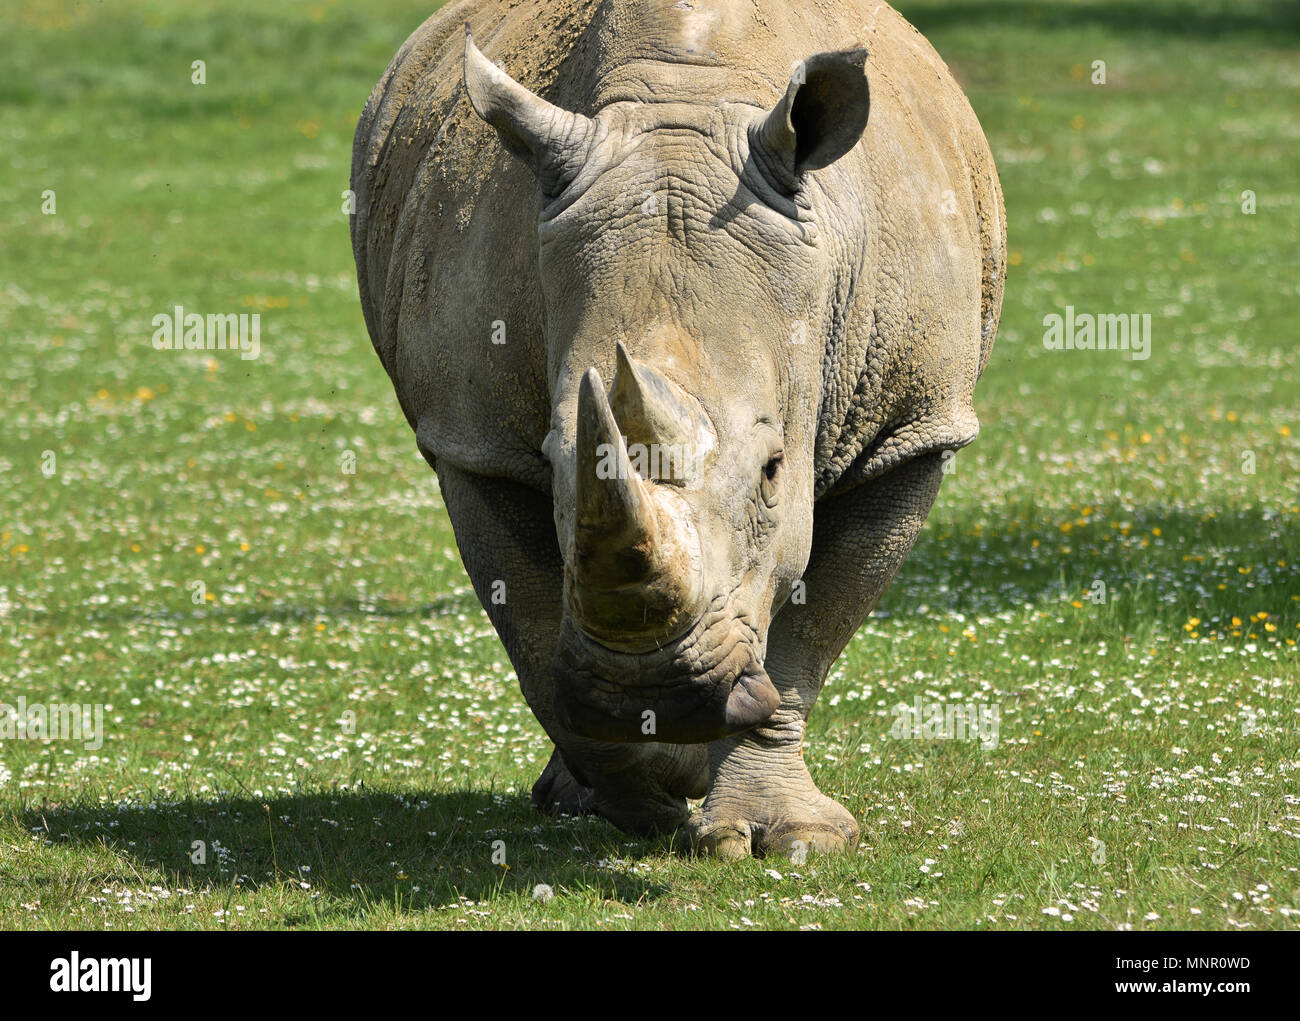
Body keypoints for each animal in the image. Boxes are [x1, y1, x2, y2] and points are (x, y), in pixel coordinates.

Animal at [351, 0, 1005, 858]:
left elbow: (808, 631)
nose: (653, 687)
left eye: (773, 468)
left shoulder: (908, 429)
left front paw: (786, 834)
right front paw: (643, 789)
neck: (684, 101)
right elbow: (532, 628)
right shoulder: (474, 440)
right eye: (556, 455)